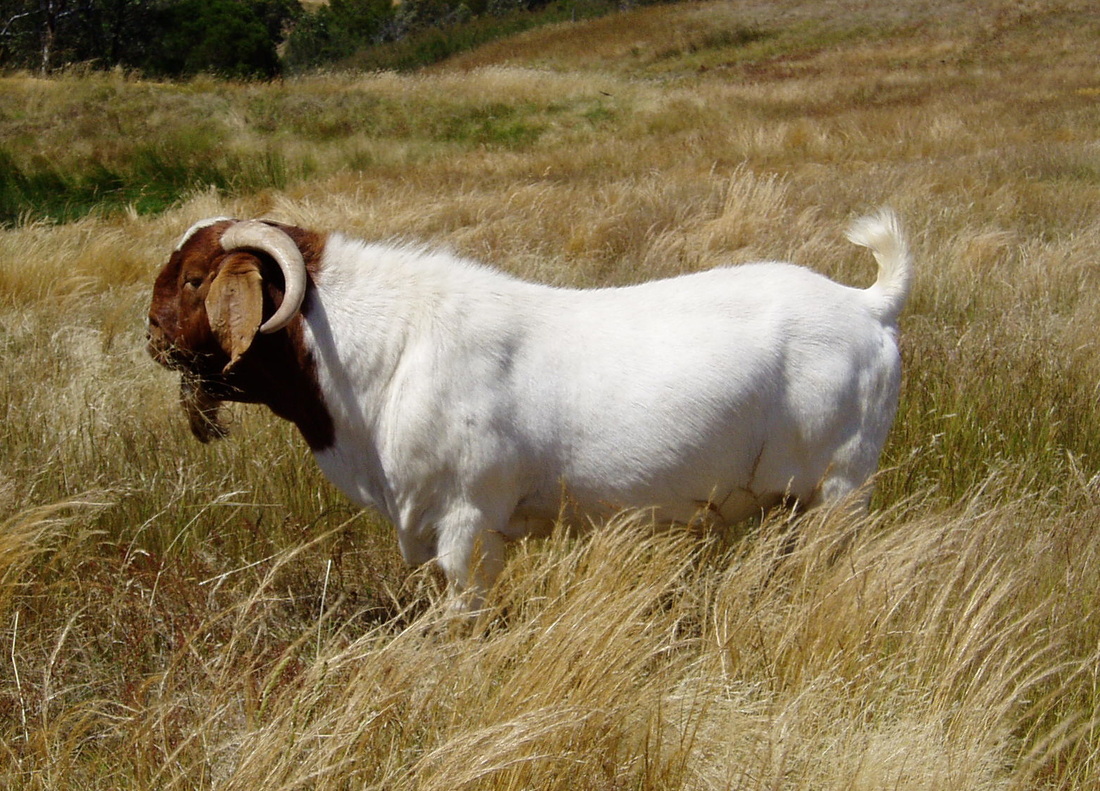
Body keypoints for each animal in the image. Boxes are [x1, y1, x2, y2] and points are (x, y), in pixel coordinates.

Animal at [147, 210, 912, 611]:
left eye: (195, 279)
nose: (150, 335)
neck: (389, 352)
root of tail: (866, 304)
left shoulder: (467, 522)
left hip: (840, 489)